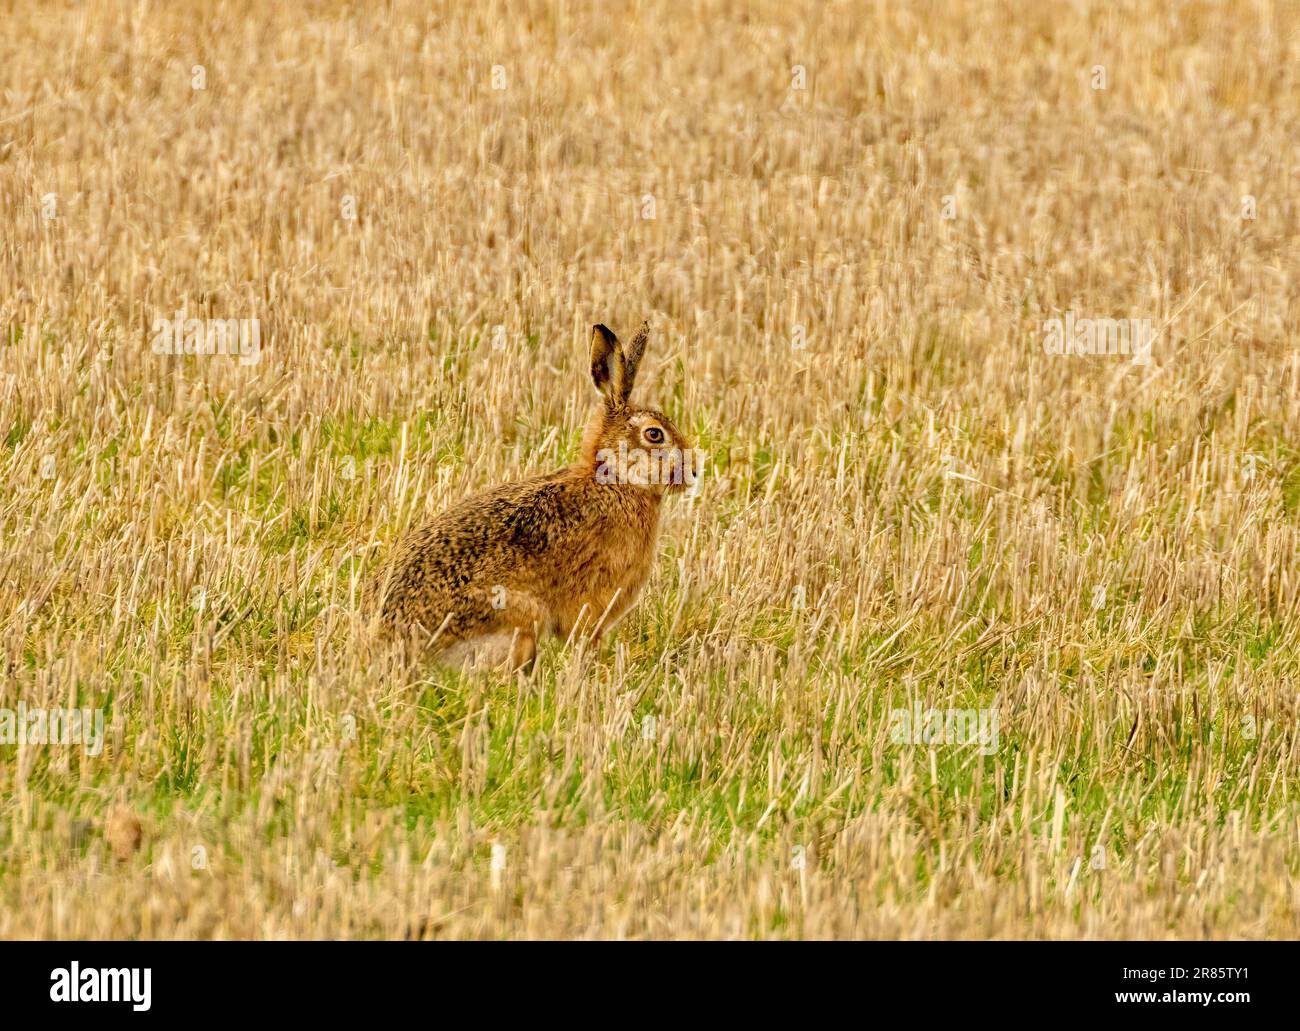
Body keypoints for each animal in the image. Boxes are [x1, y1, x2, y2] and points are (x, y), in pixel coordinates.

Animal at [366, 321, 698, 672]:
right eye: (654, 434)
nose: (693, 471)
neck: (617, 480)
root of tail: (388, 645)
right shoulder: (589, 607)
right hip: (519, 618)